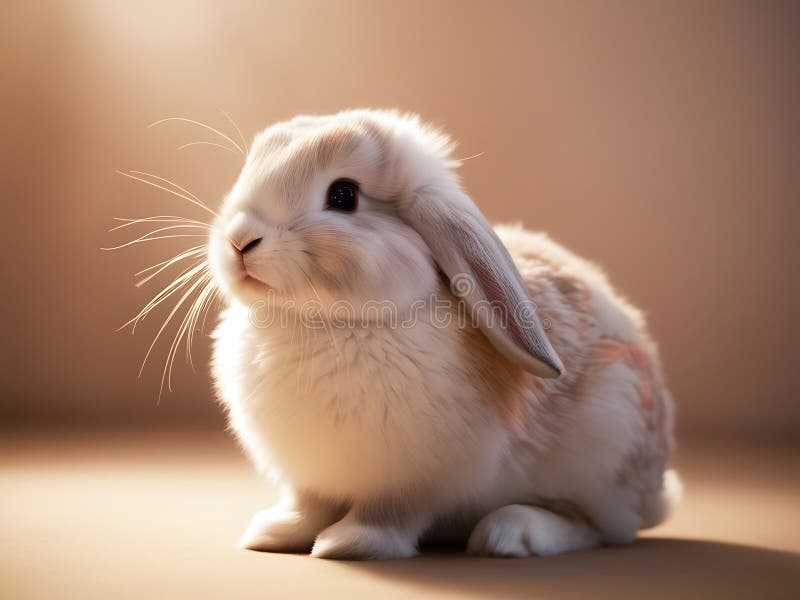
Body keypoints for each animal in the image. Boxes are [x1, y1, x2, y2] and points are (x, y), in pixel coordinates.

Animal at [207, 109, 680, 560]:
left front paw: (351, 542)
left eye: (343, 195)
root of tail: (656, 492)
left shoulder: (413, 478)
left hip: (606, 436)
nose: (240, 241)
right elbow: (308, 506)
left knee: (596, 527)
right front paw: (273, 532)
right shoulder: (312, 479)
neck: (323, 320)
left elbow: (387, 513)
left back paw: (509, 534)